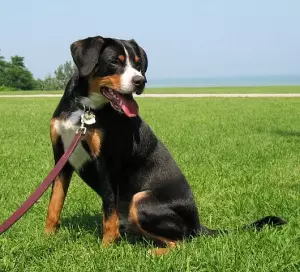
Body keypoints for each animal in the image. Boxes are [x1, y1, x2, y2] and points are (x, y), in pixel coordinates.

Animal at [45, 36, 288, 255]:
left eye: (138, 63)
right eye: (115, 61)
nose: (140, 81)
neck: (84, 110)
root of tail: (197, 225)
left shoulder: (106, 164)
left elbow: (109, 213)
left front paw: (105, 250)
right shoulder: (61, 159)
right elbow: (54, 204)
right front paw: (47, 238)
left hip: (141, 199)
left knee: (182, 242)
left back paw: (151, 252)